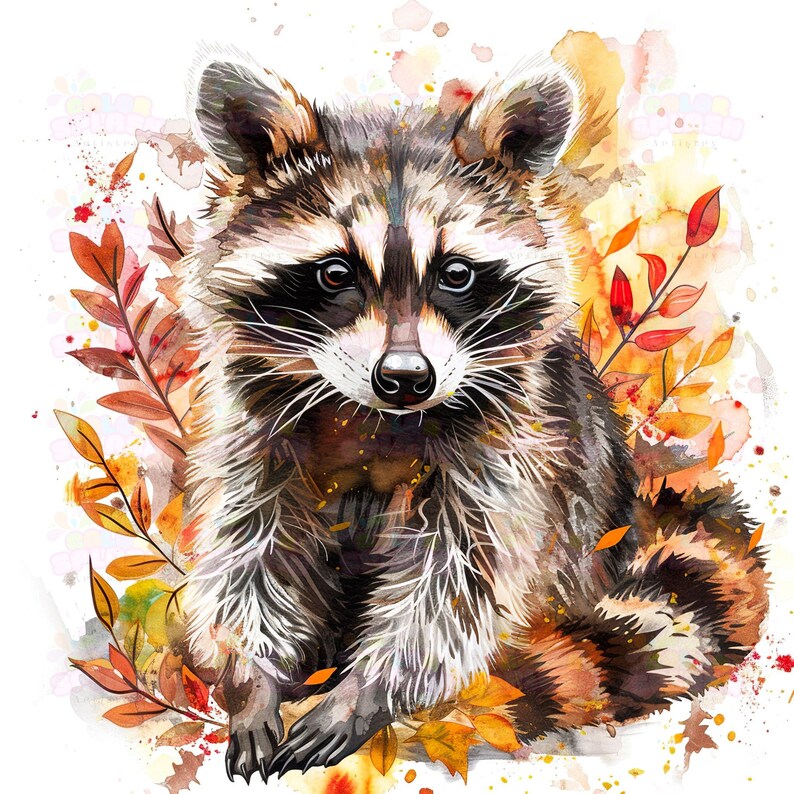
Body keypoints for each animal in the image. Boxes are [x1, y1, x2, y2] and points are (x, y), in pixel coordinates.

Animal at [180, 57, 768, 782]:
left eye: (455, 273)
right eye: (335, 273)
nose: (407, 378)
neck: (375, 418)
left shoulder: (513, 441)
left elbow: (457, 578)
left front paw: (368, 690)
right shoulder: (252, 430)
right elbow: (253, 552)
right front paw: (251, 674)